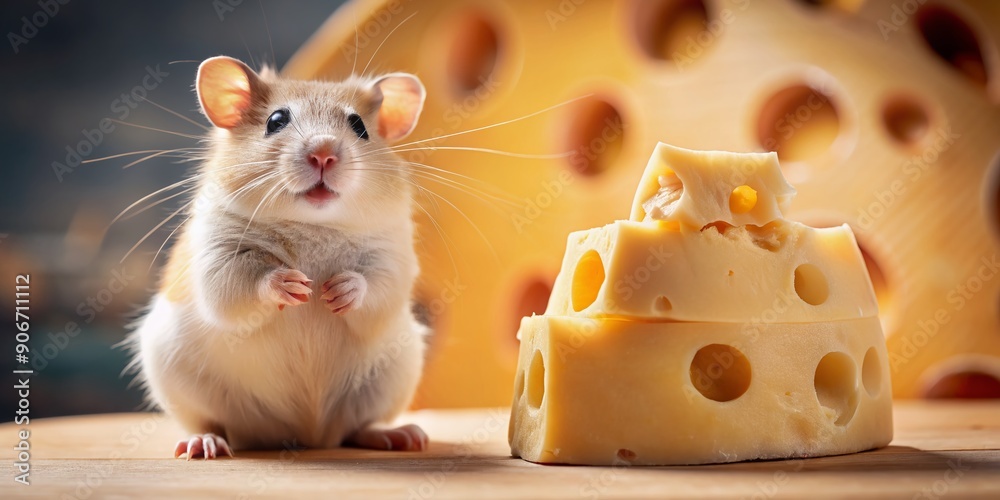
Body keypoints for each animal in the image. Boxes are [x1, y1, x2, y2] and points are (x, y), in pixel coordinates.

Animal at [127, 56, 429, 459]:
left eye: (360, 127)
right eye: (276, 121)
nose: (323, 153)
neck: (314, 224)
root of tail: (309, 434)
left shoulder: (391, 257)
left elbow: (375, 286)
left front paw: (336, 290)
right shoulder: (218, 258)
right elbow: (244, 285)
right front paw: (292, 284)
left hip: (395, 373)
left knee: (355, 428)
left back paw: (401, 436)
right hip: (176, 373)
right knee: (213, 424)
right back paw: (203, 444)